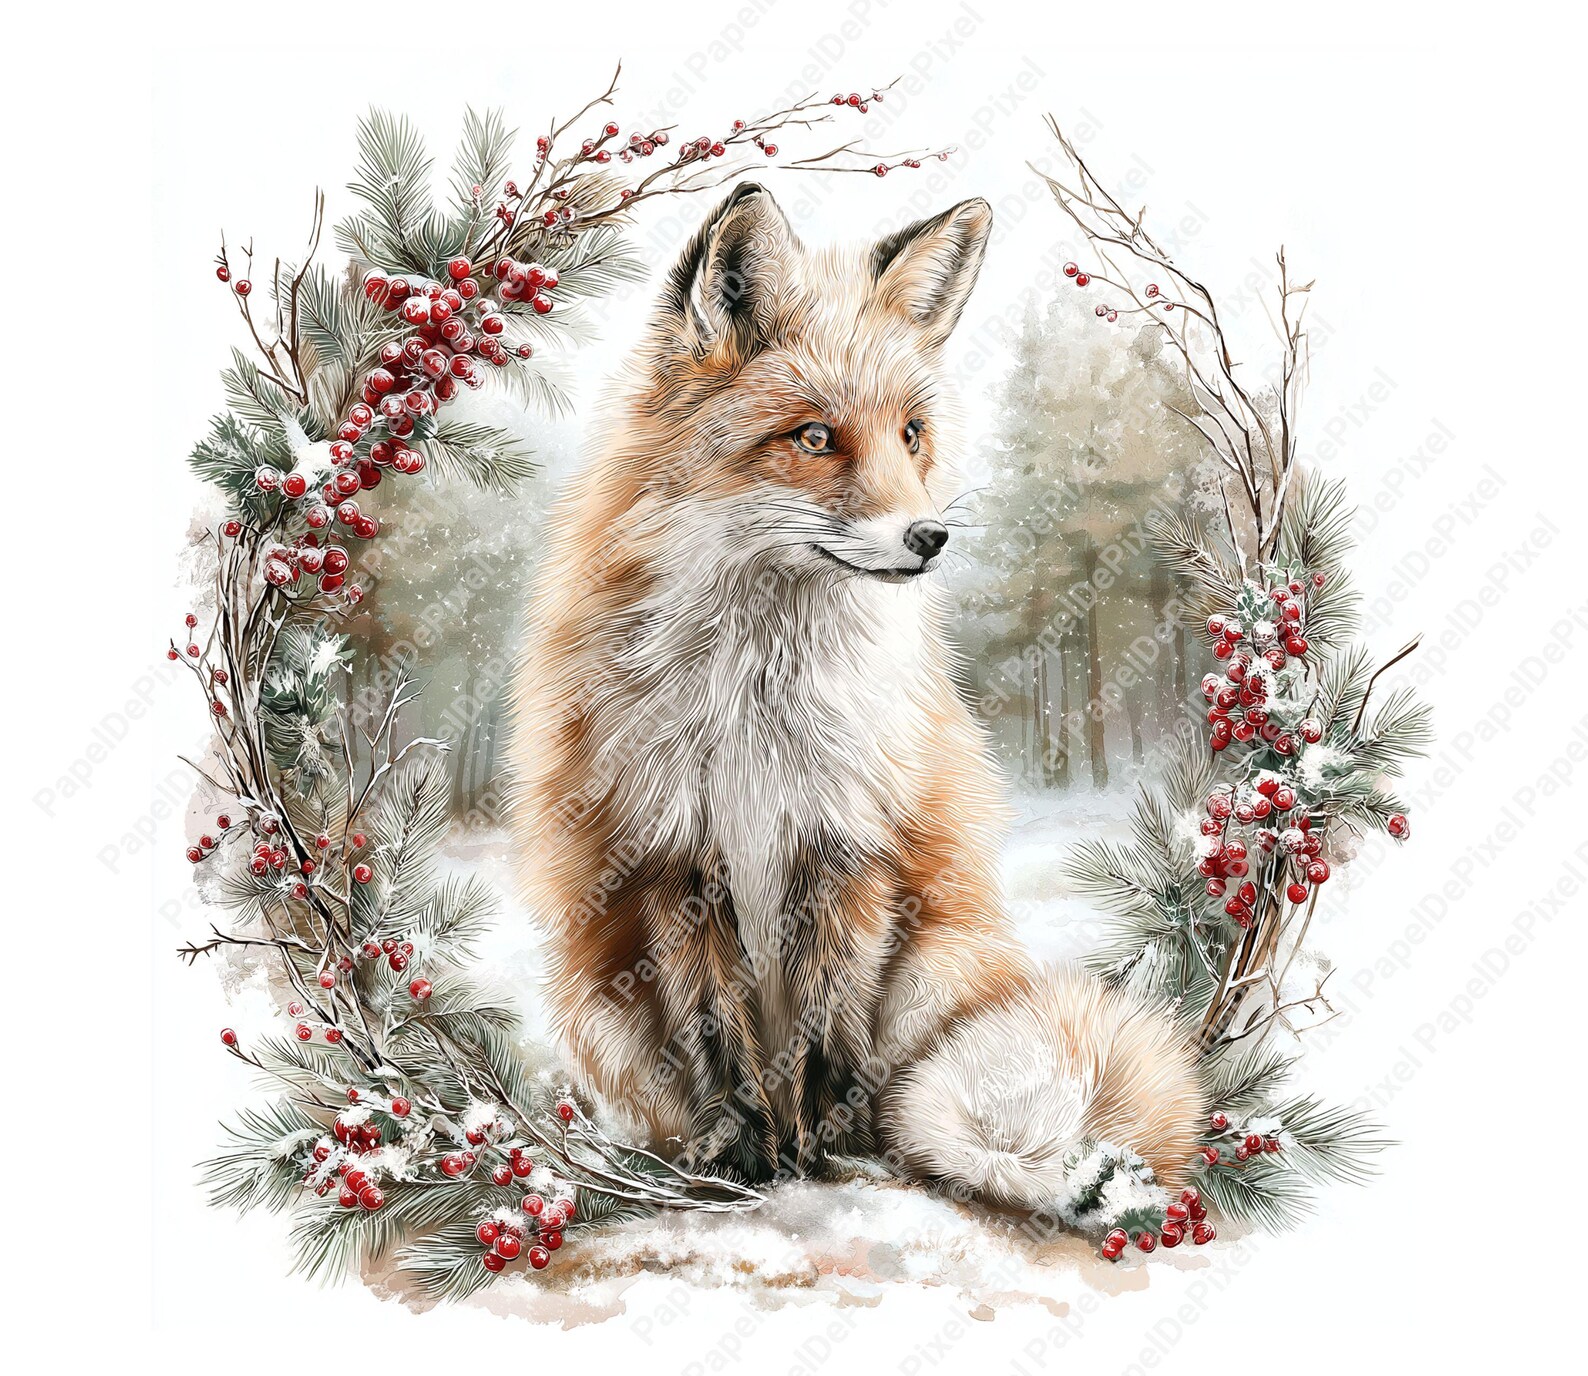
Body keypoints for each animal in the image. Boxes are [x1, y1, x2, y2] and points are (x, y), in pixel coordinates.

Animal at [505, 182, 1204, 1206]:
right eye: (814, 438)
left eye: (910, 434)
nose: (929, 538)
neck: (756, 702)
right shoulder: (672, 852)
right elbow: (717, 1036)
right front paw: (743, 1155)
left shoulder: (845, 842)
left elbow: (828, 1030)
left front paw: (828, 1151)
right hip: (598, 1008)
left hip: (937, 965)